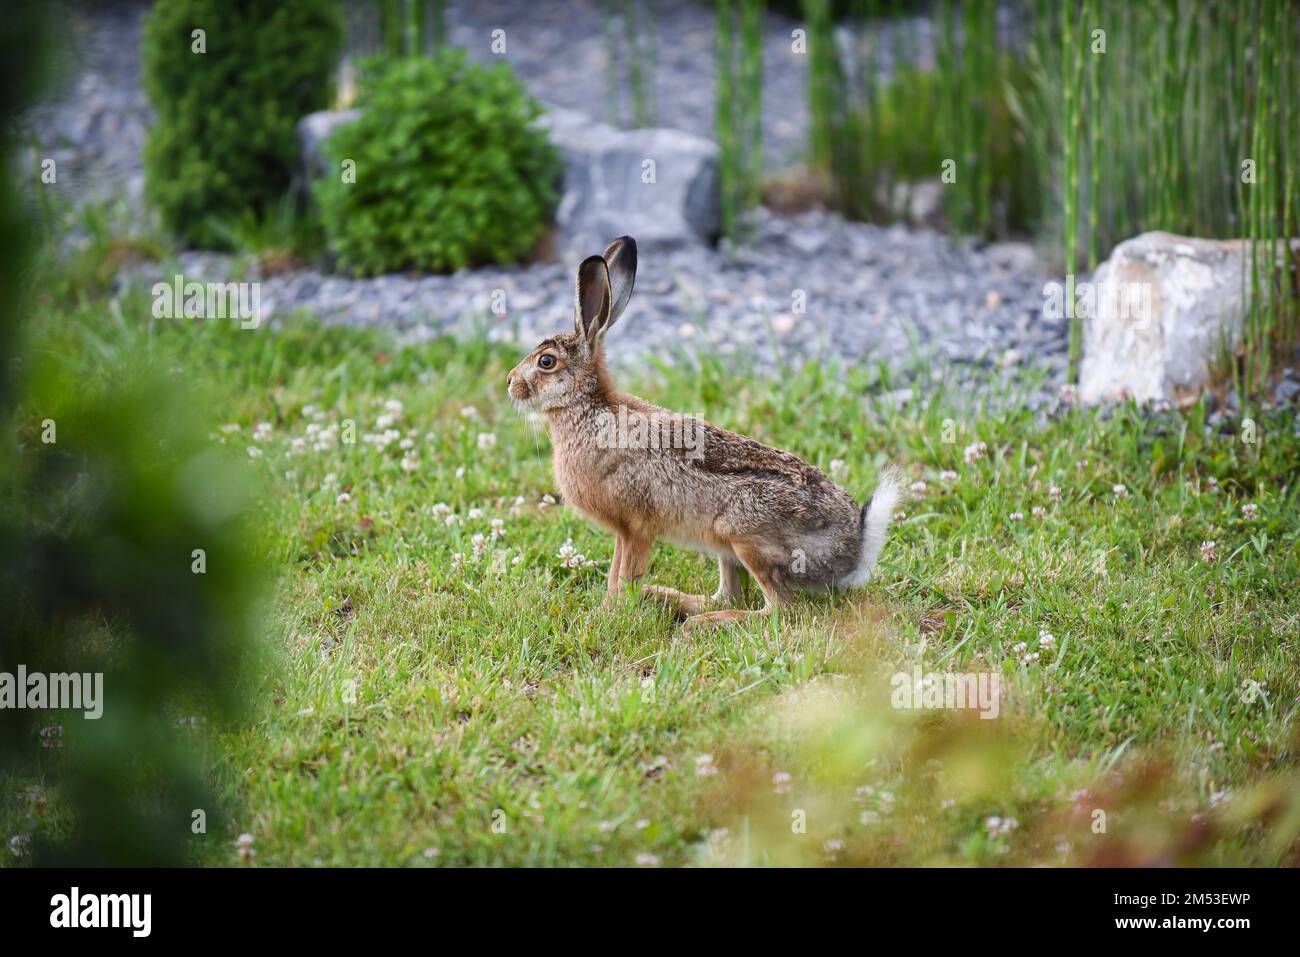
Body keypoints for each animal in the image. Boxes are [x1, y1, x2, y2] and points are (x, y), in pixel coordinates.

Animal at [506, 236, 901, 633]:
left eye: (546, 362)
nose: (510, 382)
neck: (587, 405)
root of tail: (853, 550)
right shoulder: (624, 531)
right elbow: (616, 573)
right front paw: (614, 609)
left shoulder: (636, 526)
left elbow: (623, 575)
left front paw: (610, 614)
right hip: (723, 545)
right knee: (731, 593)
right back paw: (672, 601)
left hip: (744, 533)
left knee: (780, 609)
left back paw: (702, 623)